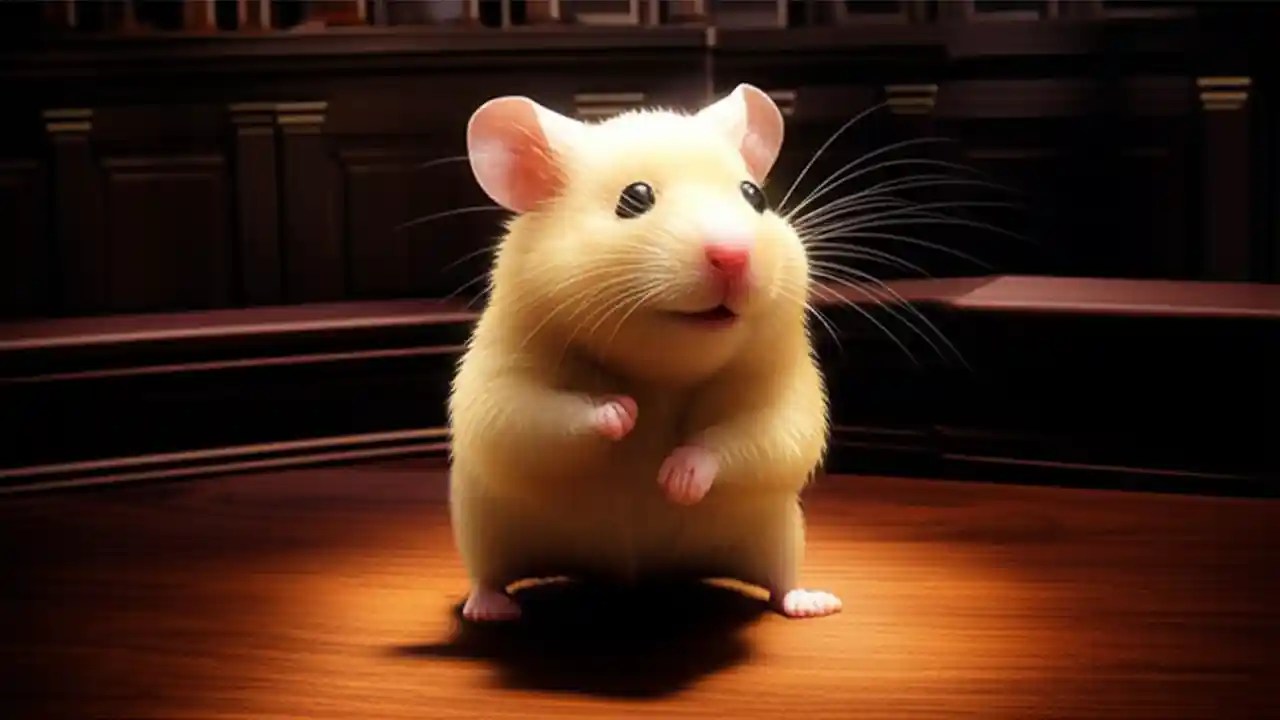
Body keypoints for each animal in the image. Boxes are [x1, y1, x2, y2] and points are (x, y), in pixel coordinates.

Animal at [447, 84, 841, 622]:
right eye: (634, 198)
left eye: (754, 196)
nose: (733, 256)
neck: (663, 375)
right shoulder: (503, 373)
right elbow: (526, 415)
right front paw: (623, 413)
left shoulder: (781, 385)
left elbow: (761, 433)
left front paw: (675, 478)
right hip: (482, 527)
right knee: (488, 574)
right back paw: (491, 610)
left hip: (777, 534)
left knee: (781, 581)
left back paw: (814, 602)